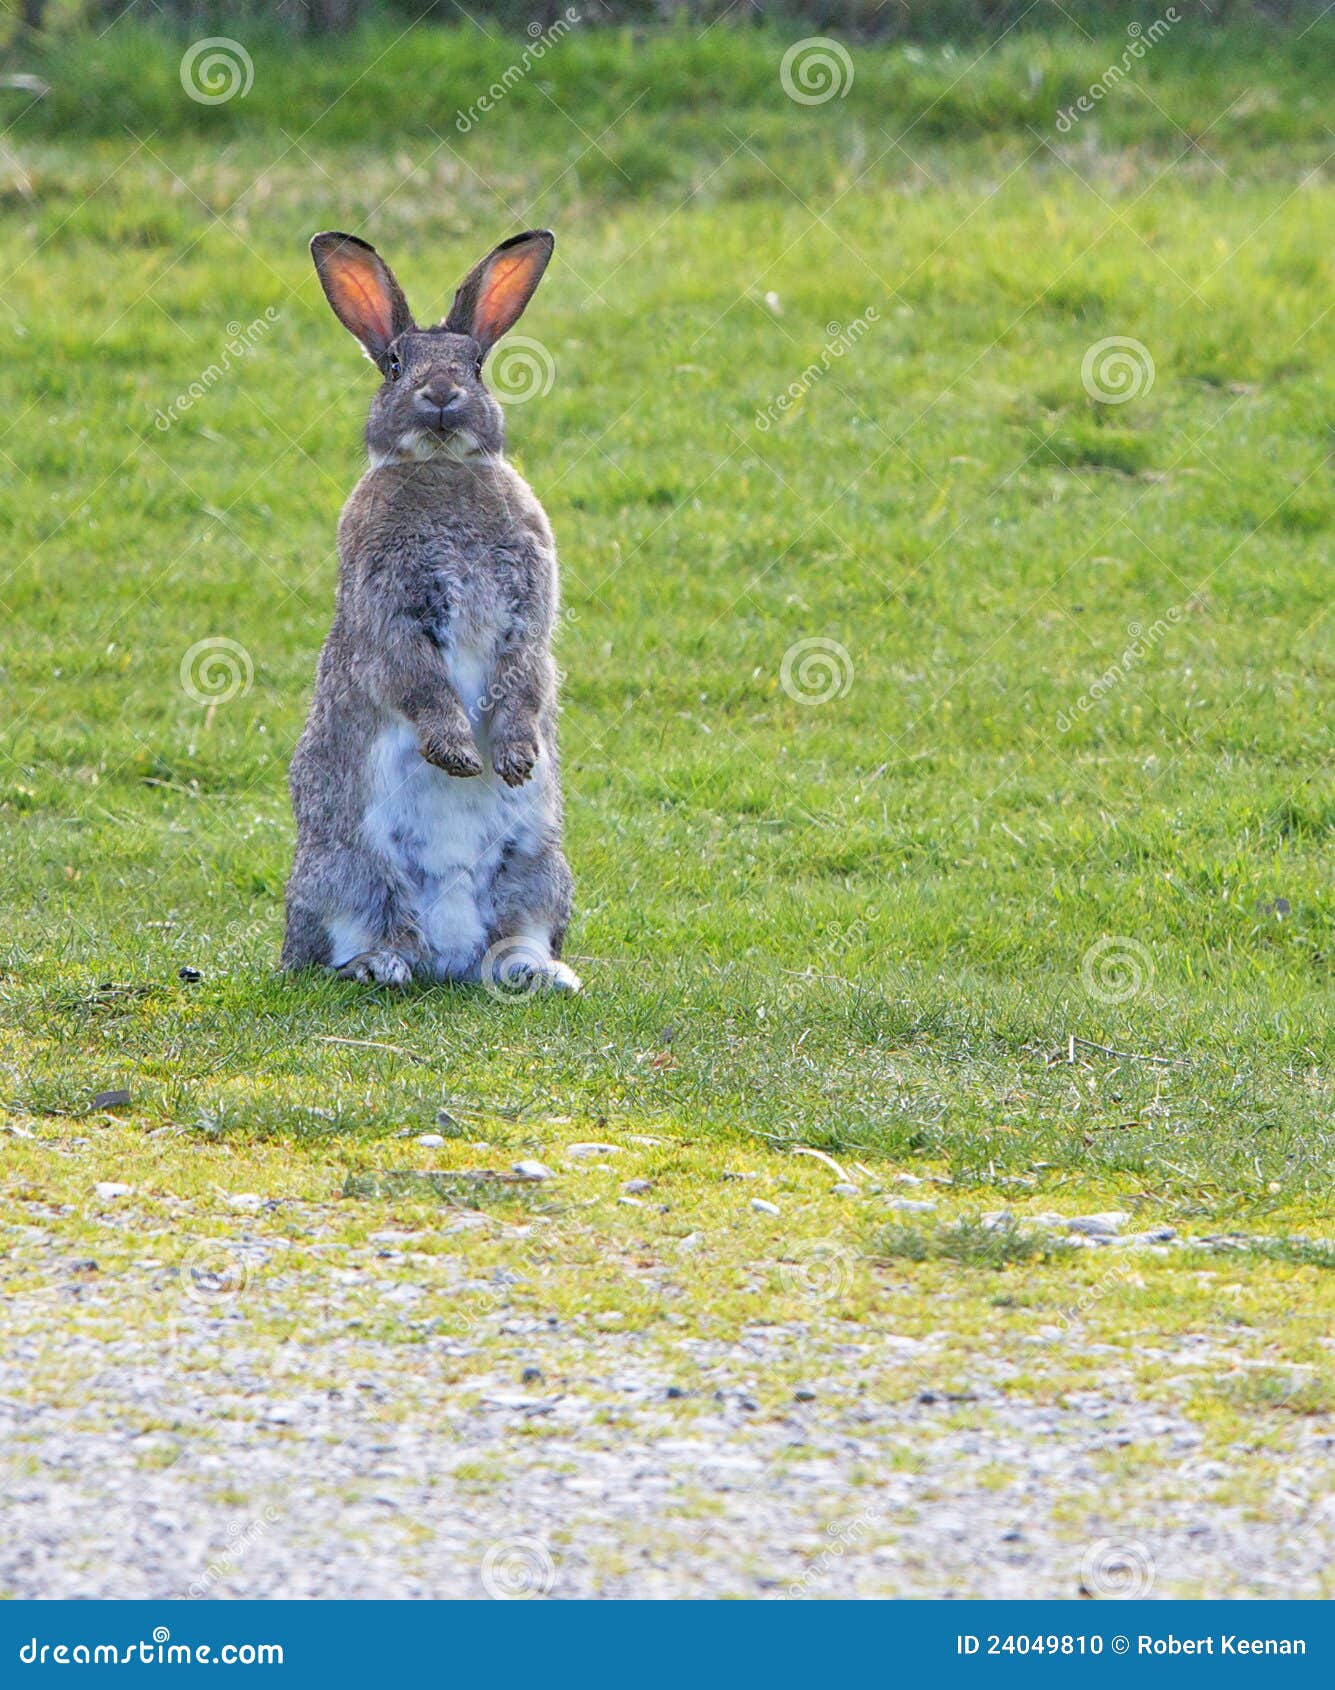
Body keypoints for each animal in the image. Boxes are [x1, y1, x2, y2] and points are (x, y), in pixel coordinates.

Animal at [280, 228, 580, 994]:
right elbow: (415, 679)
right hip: (347, 868)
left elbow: (526, 676)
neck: (442, 467)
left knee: (518, 934)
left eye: (476, 365)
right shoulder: (390, 615)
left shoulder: (528, 614)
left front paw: (513, 758)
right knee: (354, 935)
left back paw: (538, 973)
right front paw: (457, 753)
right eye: (393, 364)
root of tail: (449, 958)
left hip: (538, 868)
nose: (441, 395)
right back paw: (378, 965)